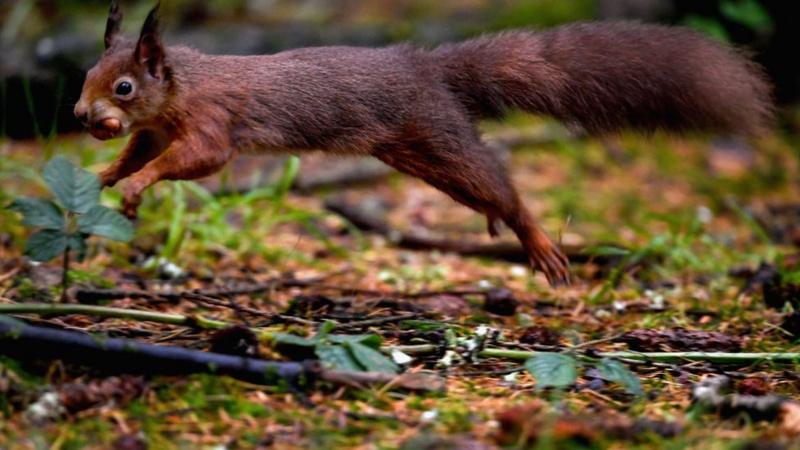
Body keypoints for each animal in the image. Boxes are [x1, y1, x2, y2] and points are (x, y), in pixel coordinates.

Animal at [74, 1, 773, 286]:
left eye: (125, 85)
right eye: (85, 73)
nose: (81, 115)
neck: (181, 87)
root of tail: (425, 65)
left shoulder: (213, 125)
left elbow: (195, 161)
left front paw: (136, 188)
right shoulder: (156, 132)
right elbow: (138, 154)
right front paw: (102, 179)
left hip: (437, 136)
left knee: (501, 184)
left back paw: (536, 240)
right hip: (420, 154)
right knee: (485, 189)